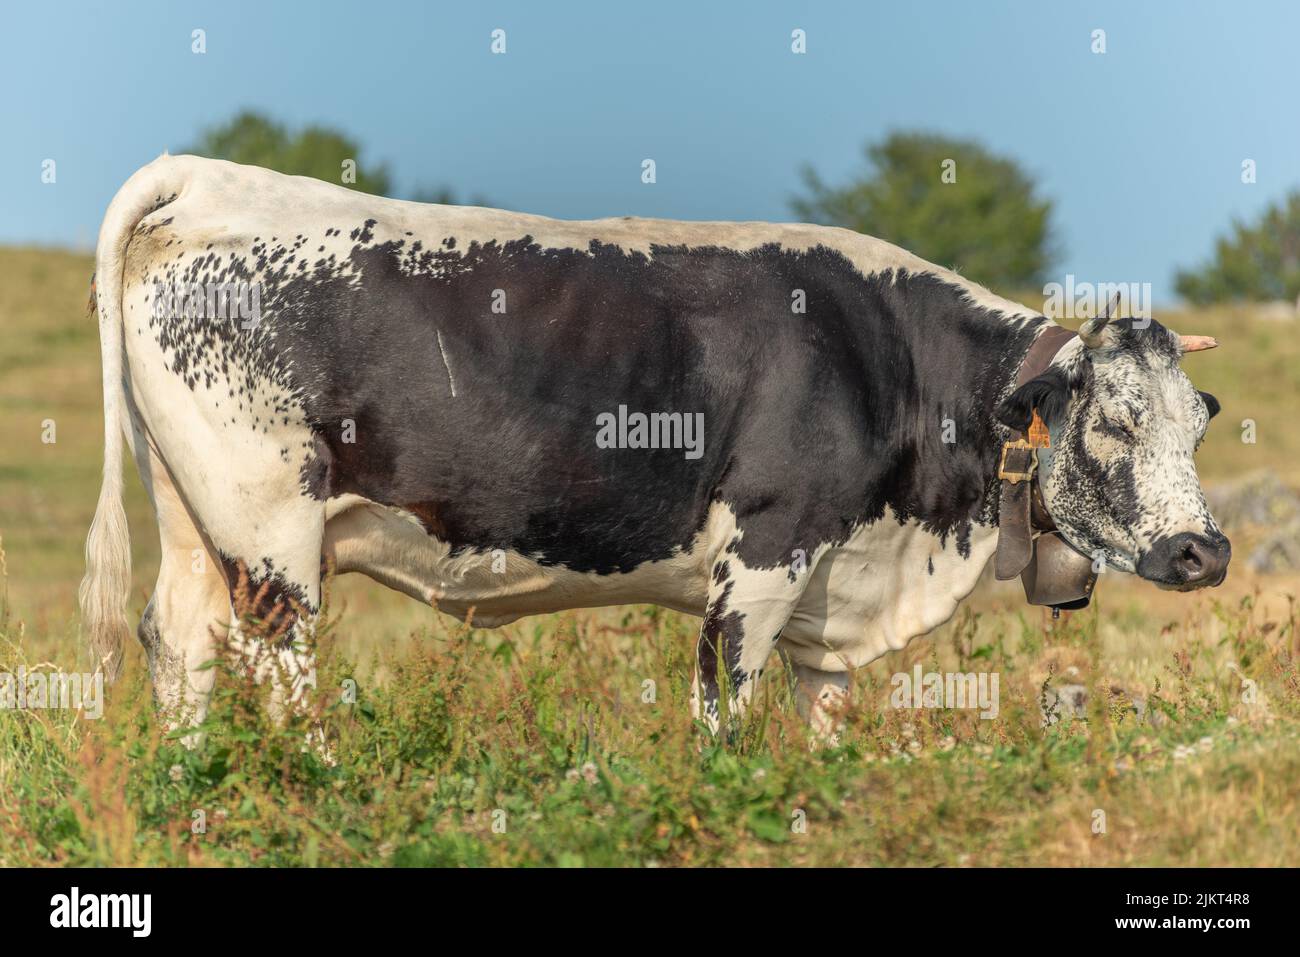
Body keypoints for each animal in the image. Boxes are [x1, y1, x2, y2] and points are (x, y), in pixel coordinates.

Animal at [80, 154, 1230, 738]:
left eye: (1198, 422)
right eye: (1115, 422)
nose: (1203, 551)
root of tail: (218, 179)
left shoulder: (832, 589)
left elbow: (821, 729)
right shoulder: (764, 553)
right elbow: (721, 714)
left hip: (197, 515)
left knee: (179, 645)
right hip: (273, 530)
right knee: (282, 674)